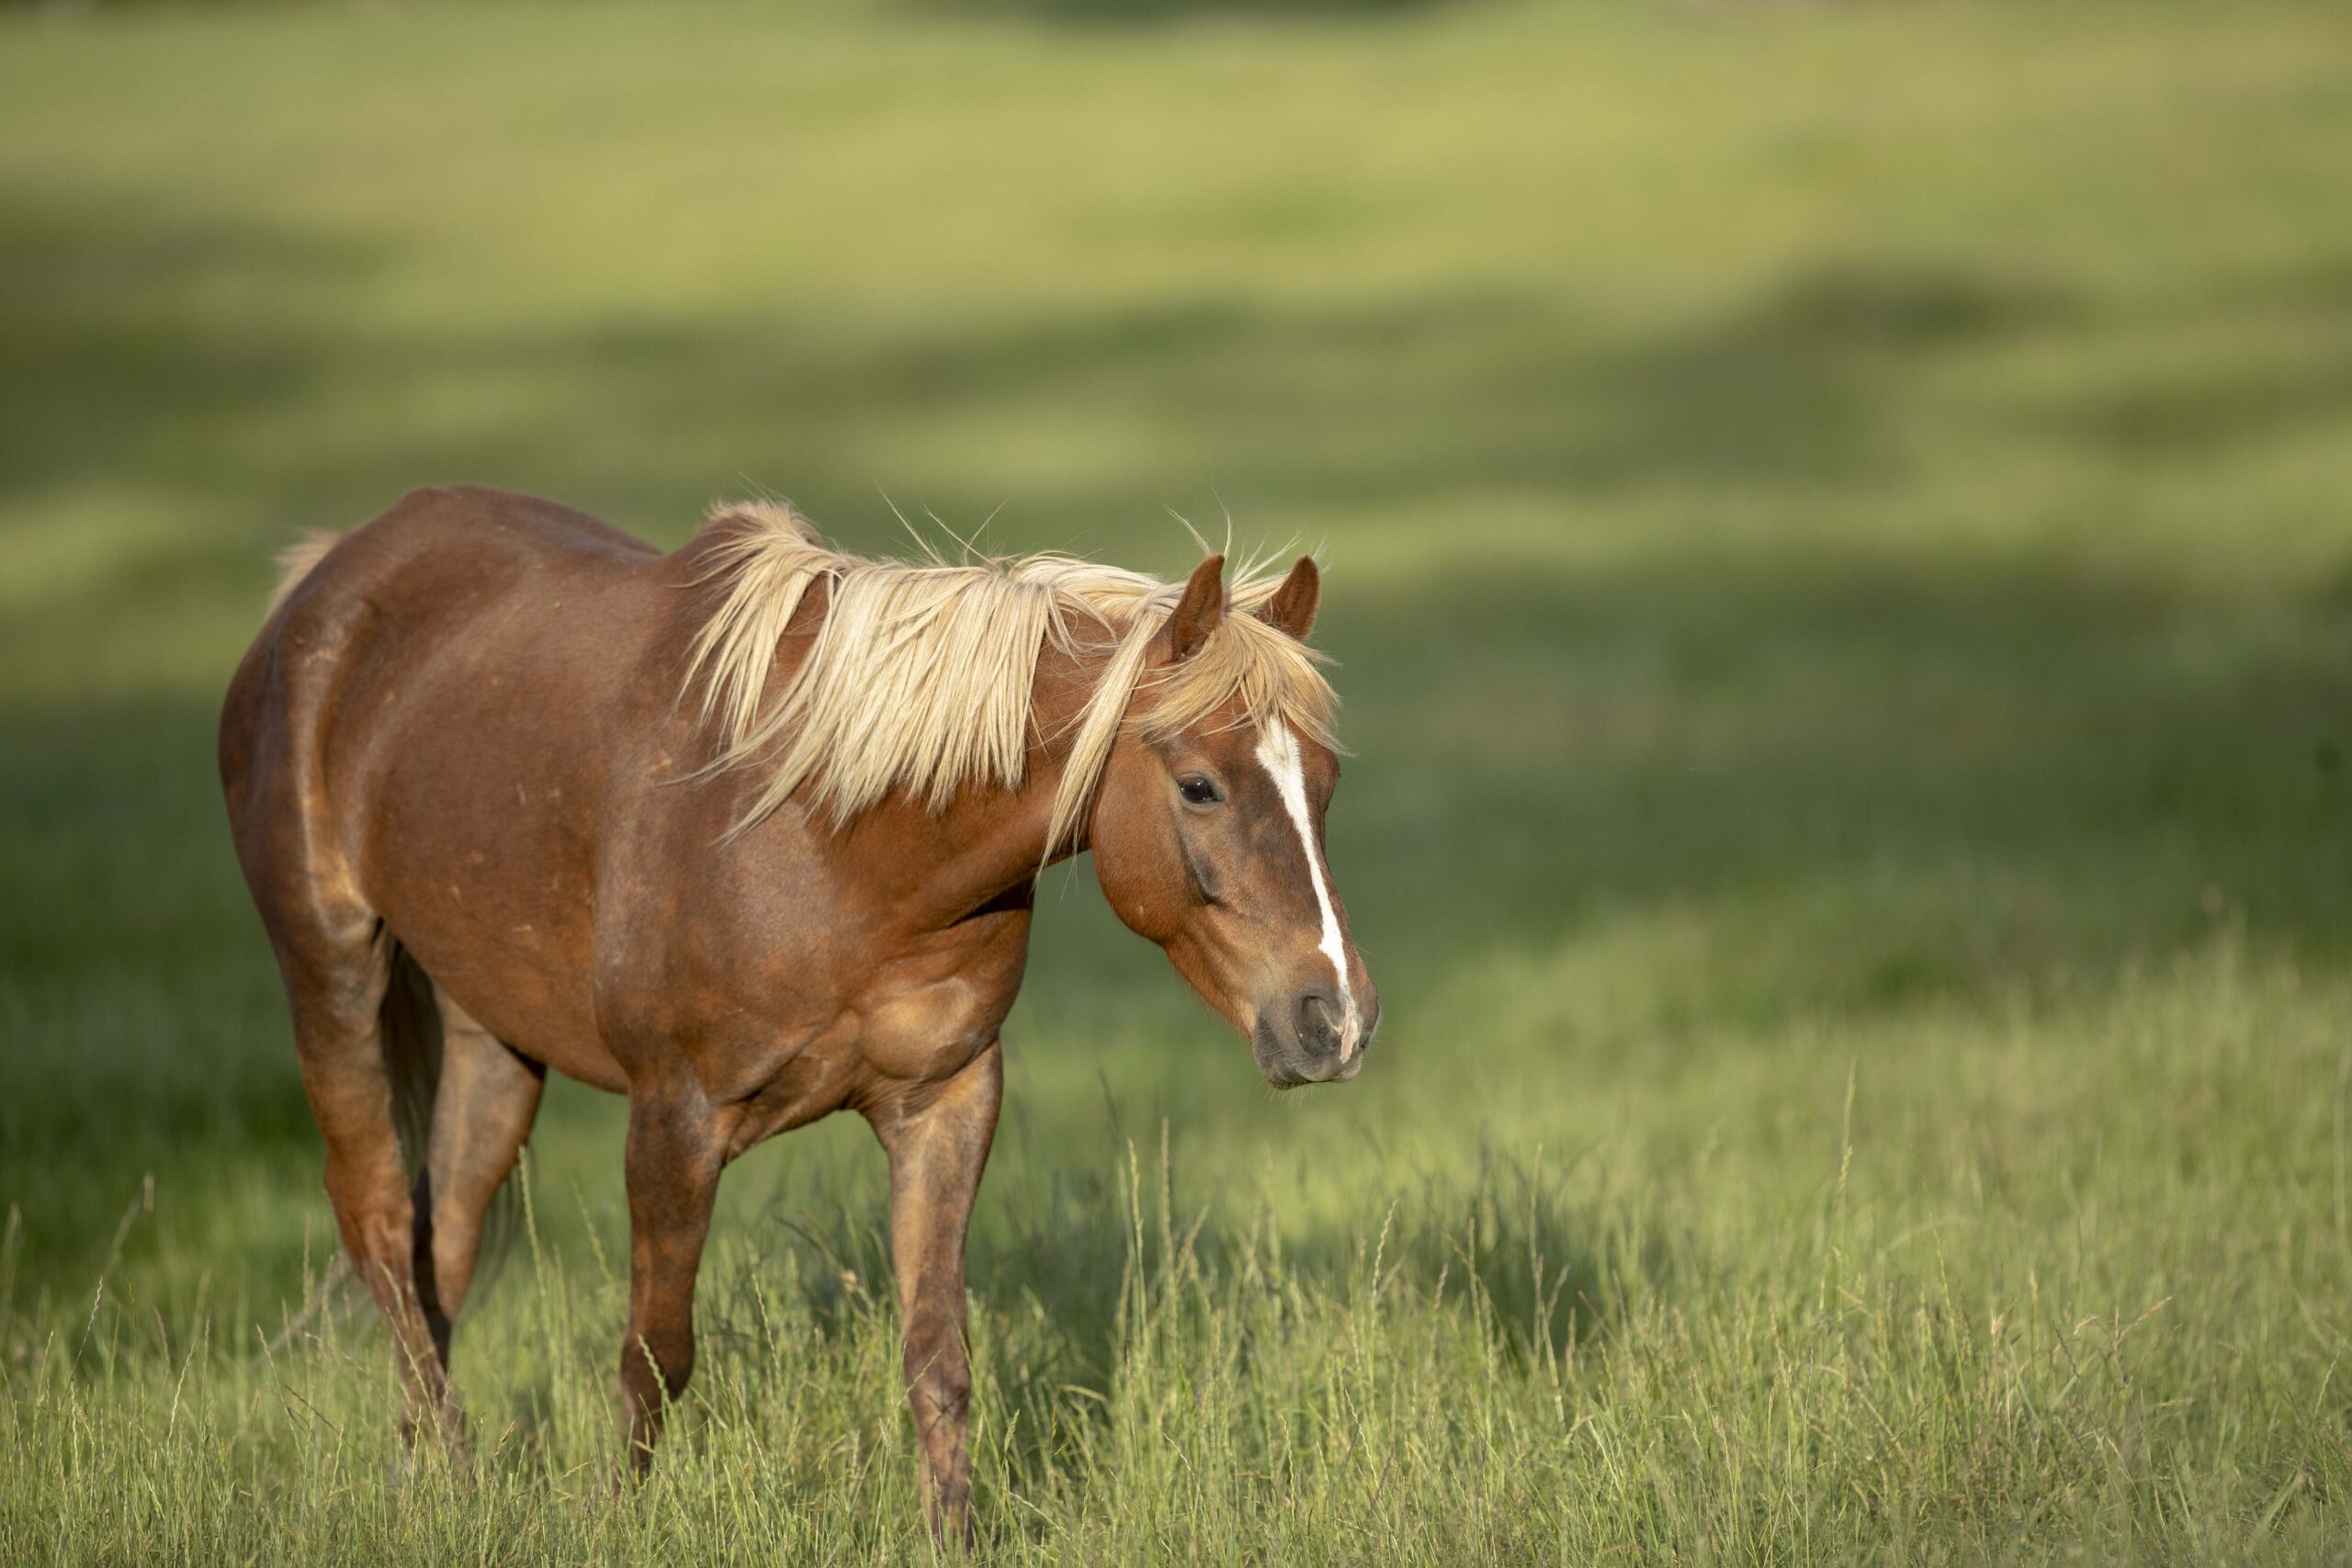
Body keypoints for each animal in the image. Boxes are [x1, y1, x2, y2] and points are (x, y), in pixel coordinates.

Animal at [218, 485, 1377, 1539]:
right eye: (1199, 787)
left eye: (1322, 781)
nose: (1335, 1020)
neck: (835, 834)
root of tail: (322, 579)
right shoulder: (673, 1121)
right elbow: (655, 1357)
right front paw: (614, 1527)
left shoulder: (946, 1103)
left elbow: (937, 1358)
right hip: (331, 971)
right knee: (374, 1215)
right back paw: (454, 1479)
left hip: (494, 1032)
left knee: (441, 1237)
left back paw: (425, 1479)